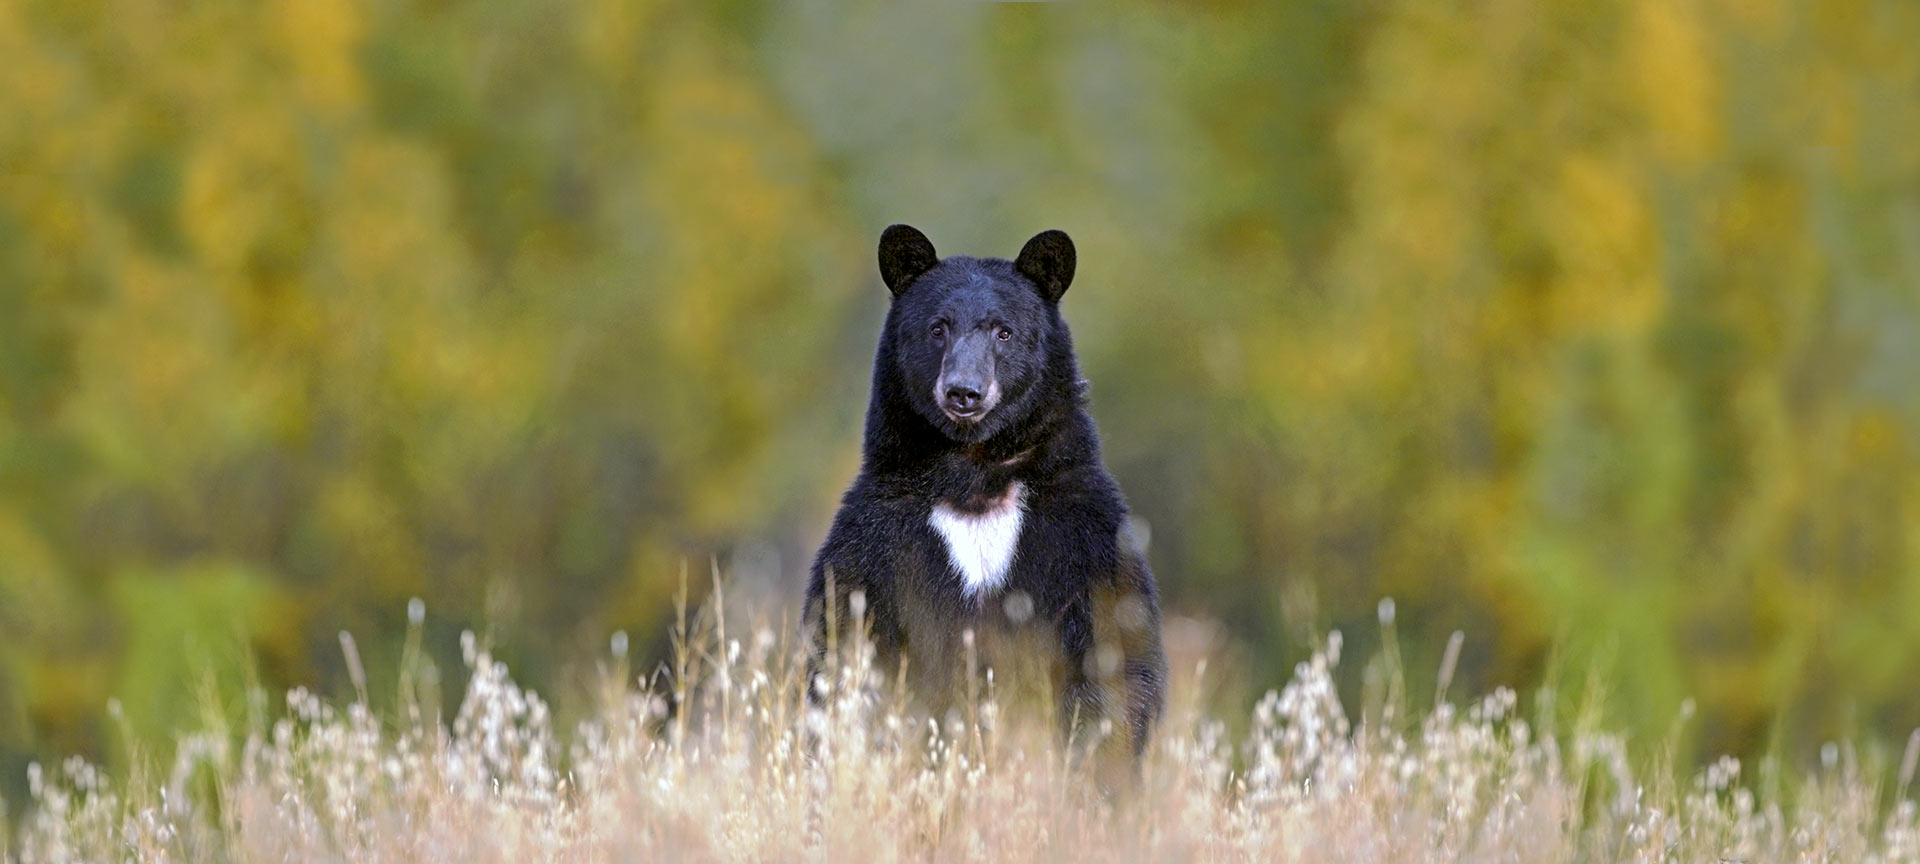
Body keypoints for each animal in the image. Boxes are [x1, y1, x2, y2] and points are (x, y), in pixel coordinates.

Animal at [804, 224, 1167, 775]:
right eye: (937, 328)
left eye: (1004, 331)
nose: (964, 392)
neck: (974, 477)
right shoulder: (878, 536)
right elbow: (847, 642)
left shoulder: (1080, 532)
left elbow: (1113, 653)